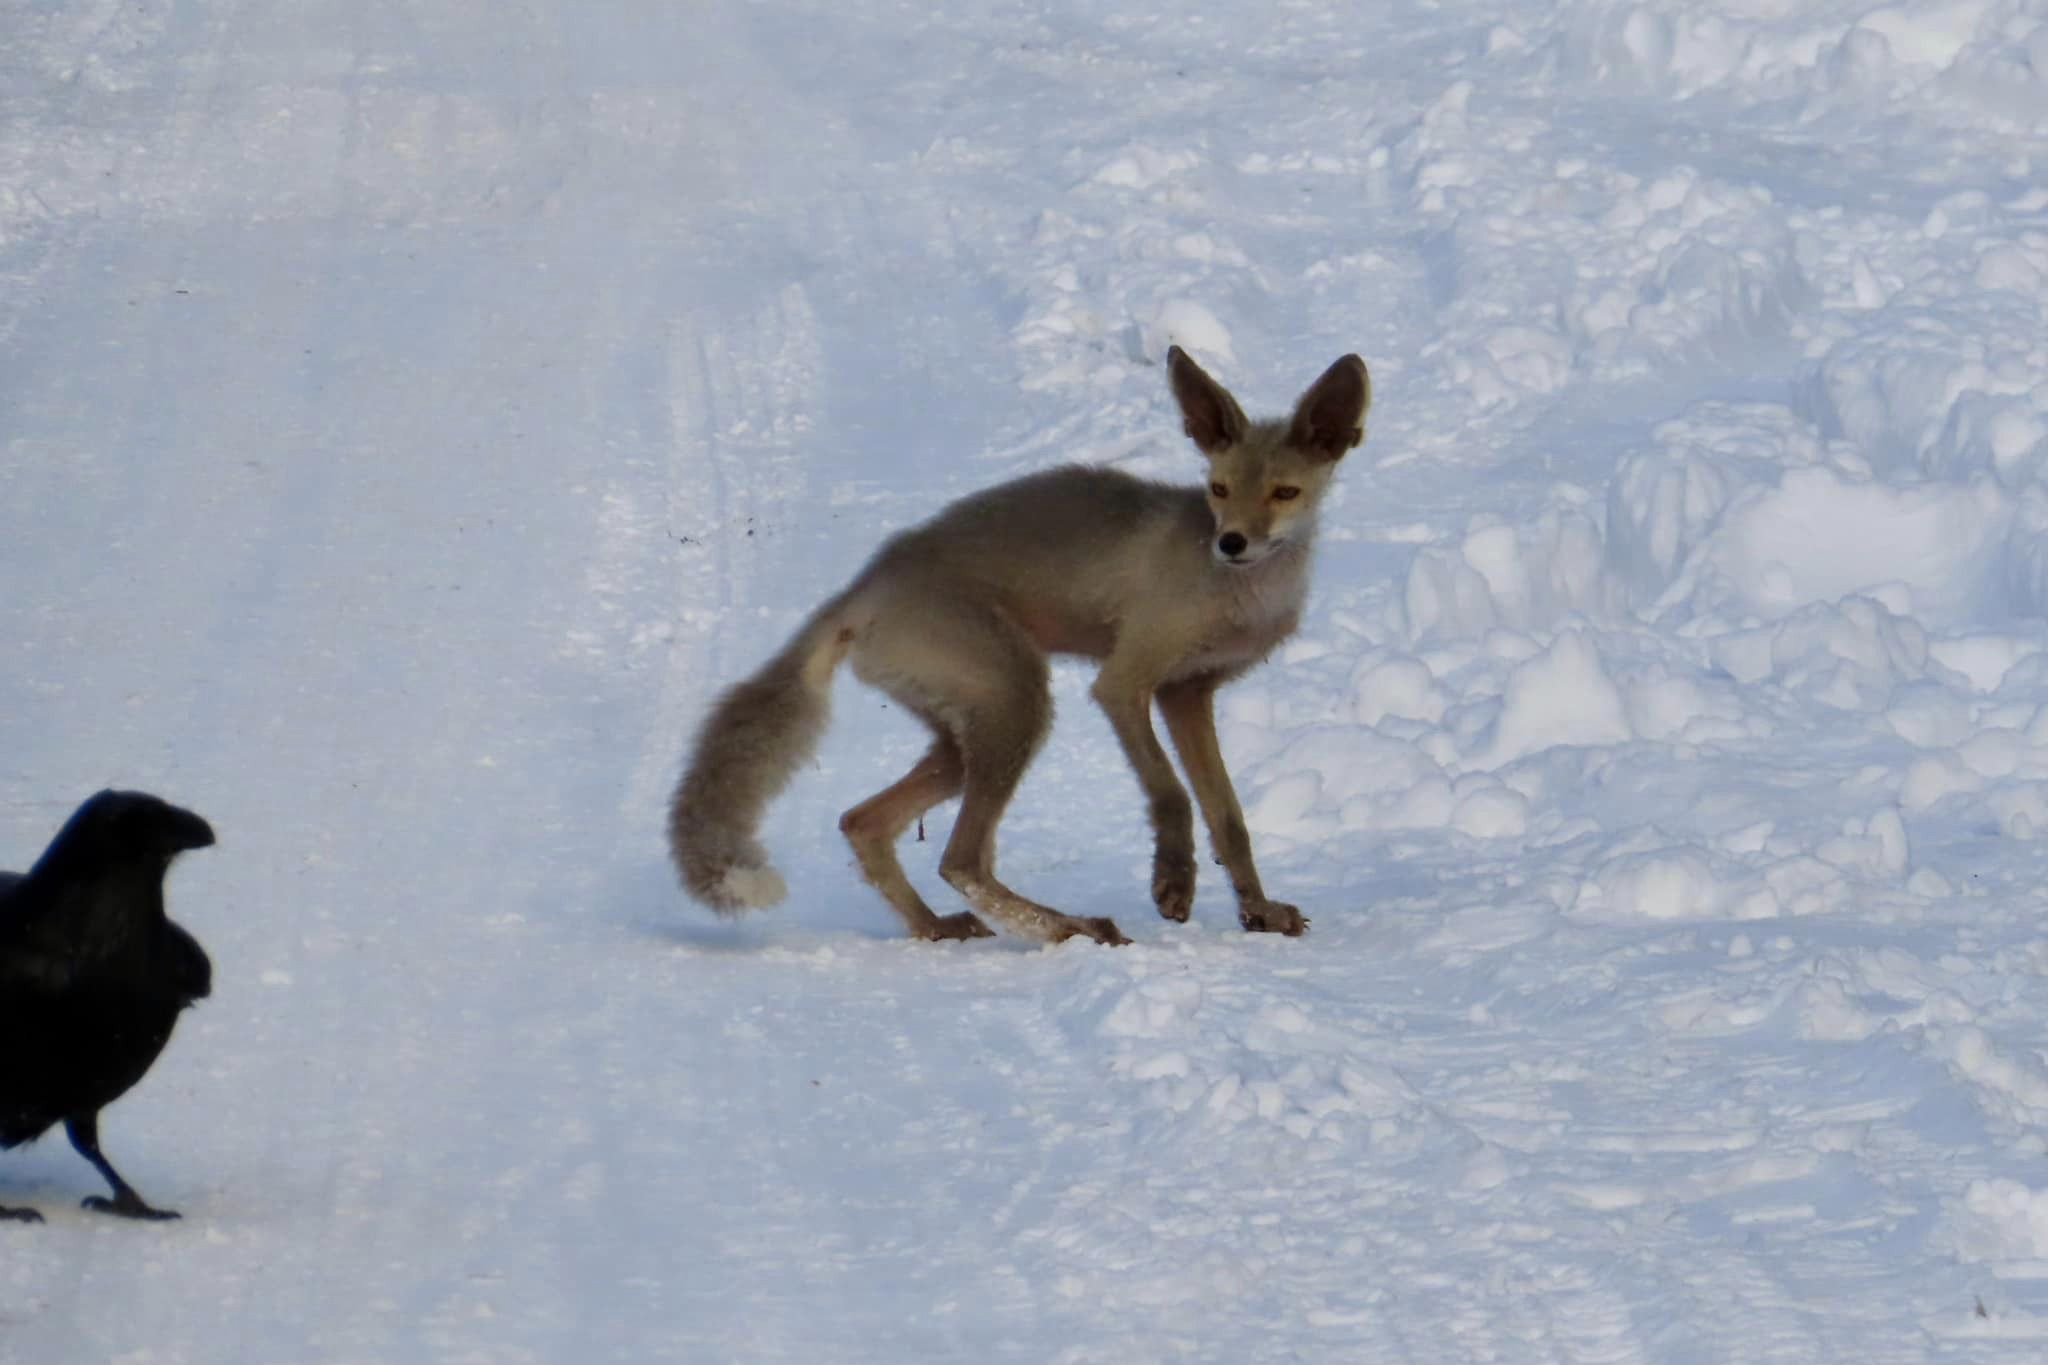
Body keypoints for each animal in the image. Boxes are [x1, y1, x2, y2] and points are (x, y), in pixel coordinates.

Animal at [668, 345, 1370, 946]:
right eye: (1219, 490)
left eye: (1284, 493)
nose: (1231, 543)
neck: (1239, 597)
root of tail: (863, 589)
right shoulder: (1126, 682)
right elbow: (1171, 793)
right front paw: (1173, 879)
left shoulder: (1187, 693)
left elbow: (1230, 820)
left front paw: (1257, 910)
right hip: (1018, 704)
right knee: (960, 861)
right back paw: (1069, 928)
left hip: (963, 741)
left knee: (863, 823)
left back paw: (936, 928)